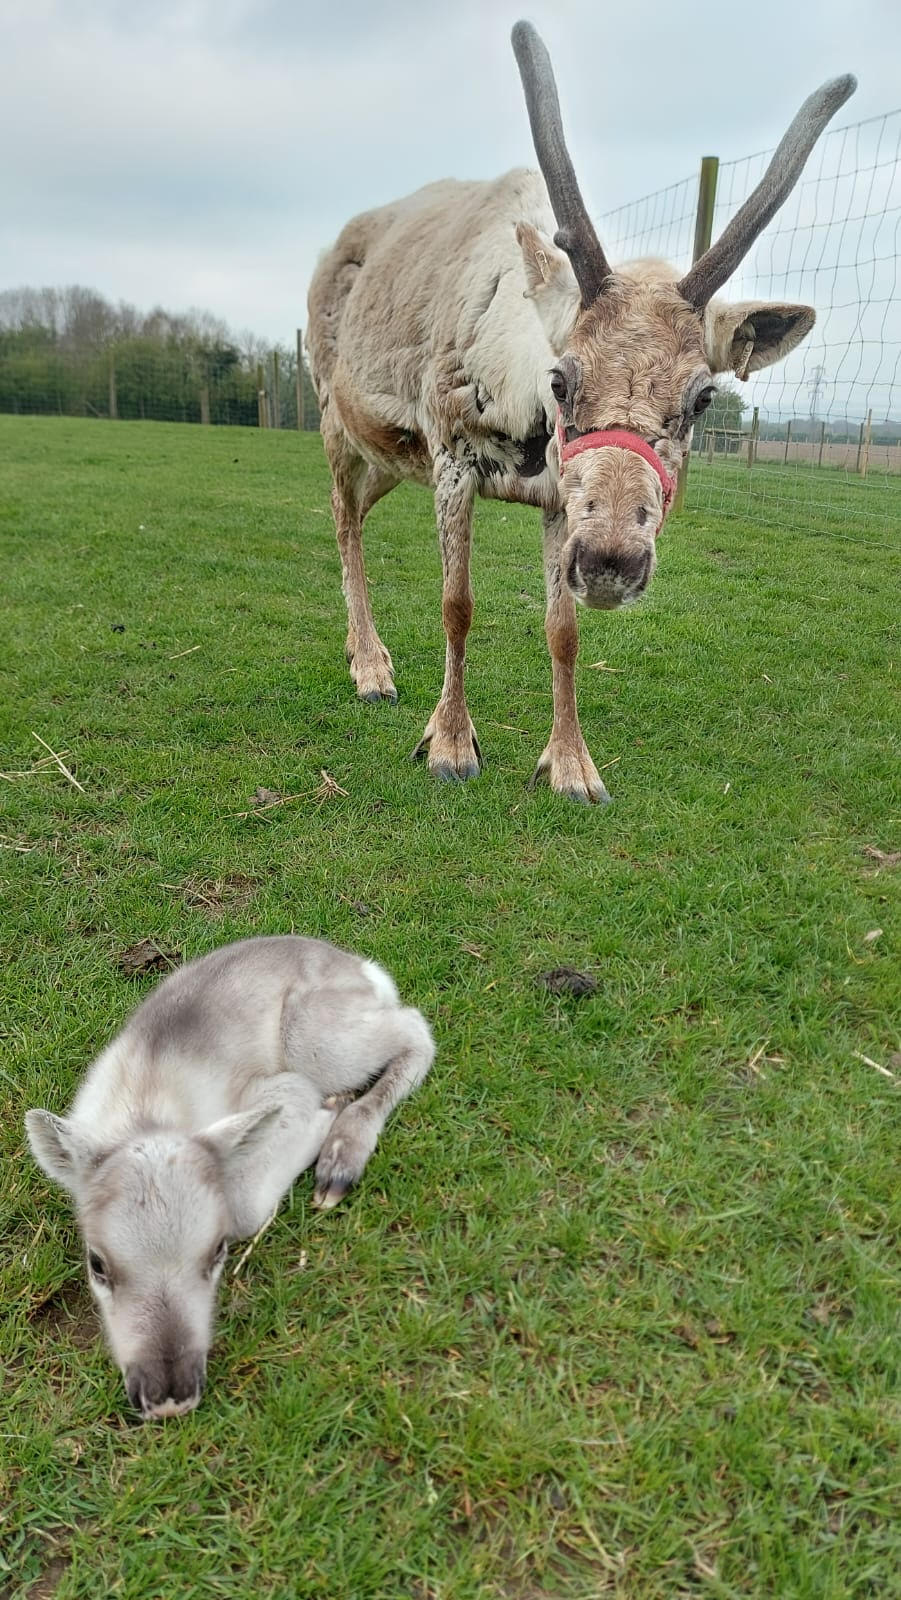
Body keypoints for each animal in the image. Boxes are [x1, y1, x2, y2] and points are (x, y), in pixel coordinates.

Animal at [25, 936, 434, 1420]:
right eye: (97, 1264)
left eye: (219, 1250)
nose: (169, 1400)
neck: (146, 1116)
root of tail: (362, 968)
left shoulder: (283, 1089)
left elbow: (242, 1203)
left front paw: (327, 1116)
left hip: (313, 1038)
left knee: (413, 1027)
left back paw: (341, 1155)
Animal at [306, 22, 855, 804]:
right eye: (561, 379)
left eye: (703, 396)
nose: (611, 562)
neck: (517, 418)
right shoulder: (451, 459)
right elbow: (456, 605)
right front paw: (450, 744)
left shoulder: (559, 500)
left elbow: (561, 631)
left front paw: (570, 765)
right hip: (336, 420)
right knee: (342, 518)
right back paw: (370, 665)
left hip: (391, 456)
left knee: (356, 510)